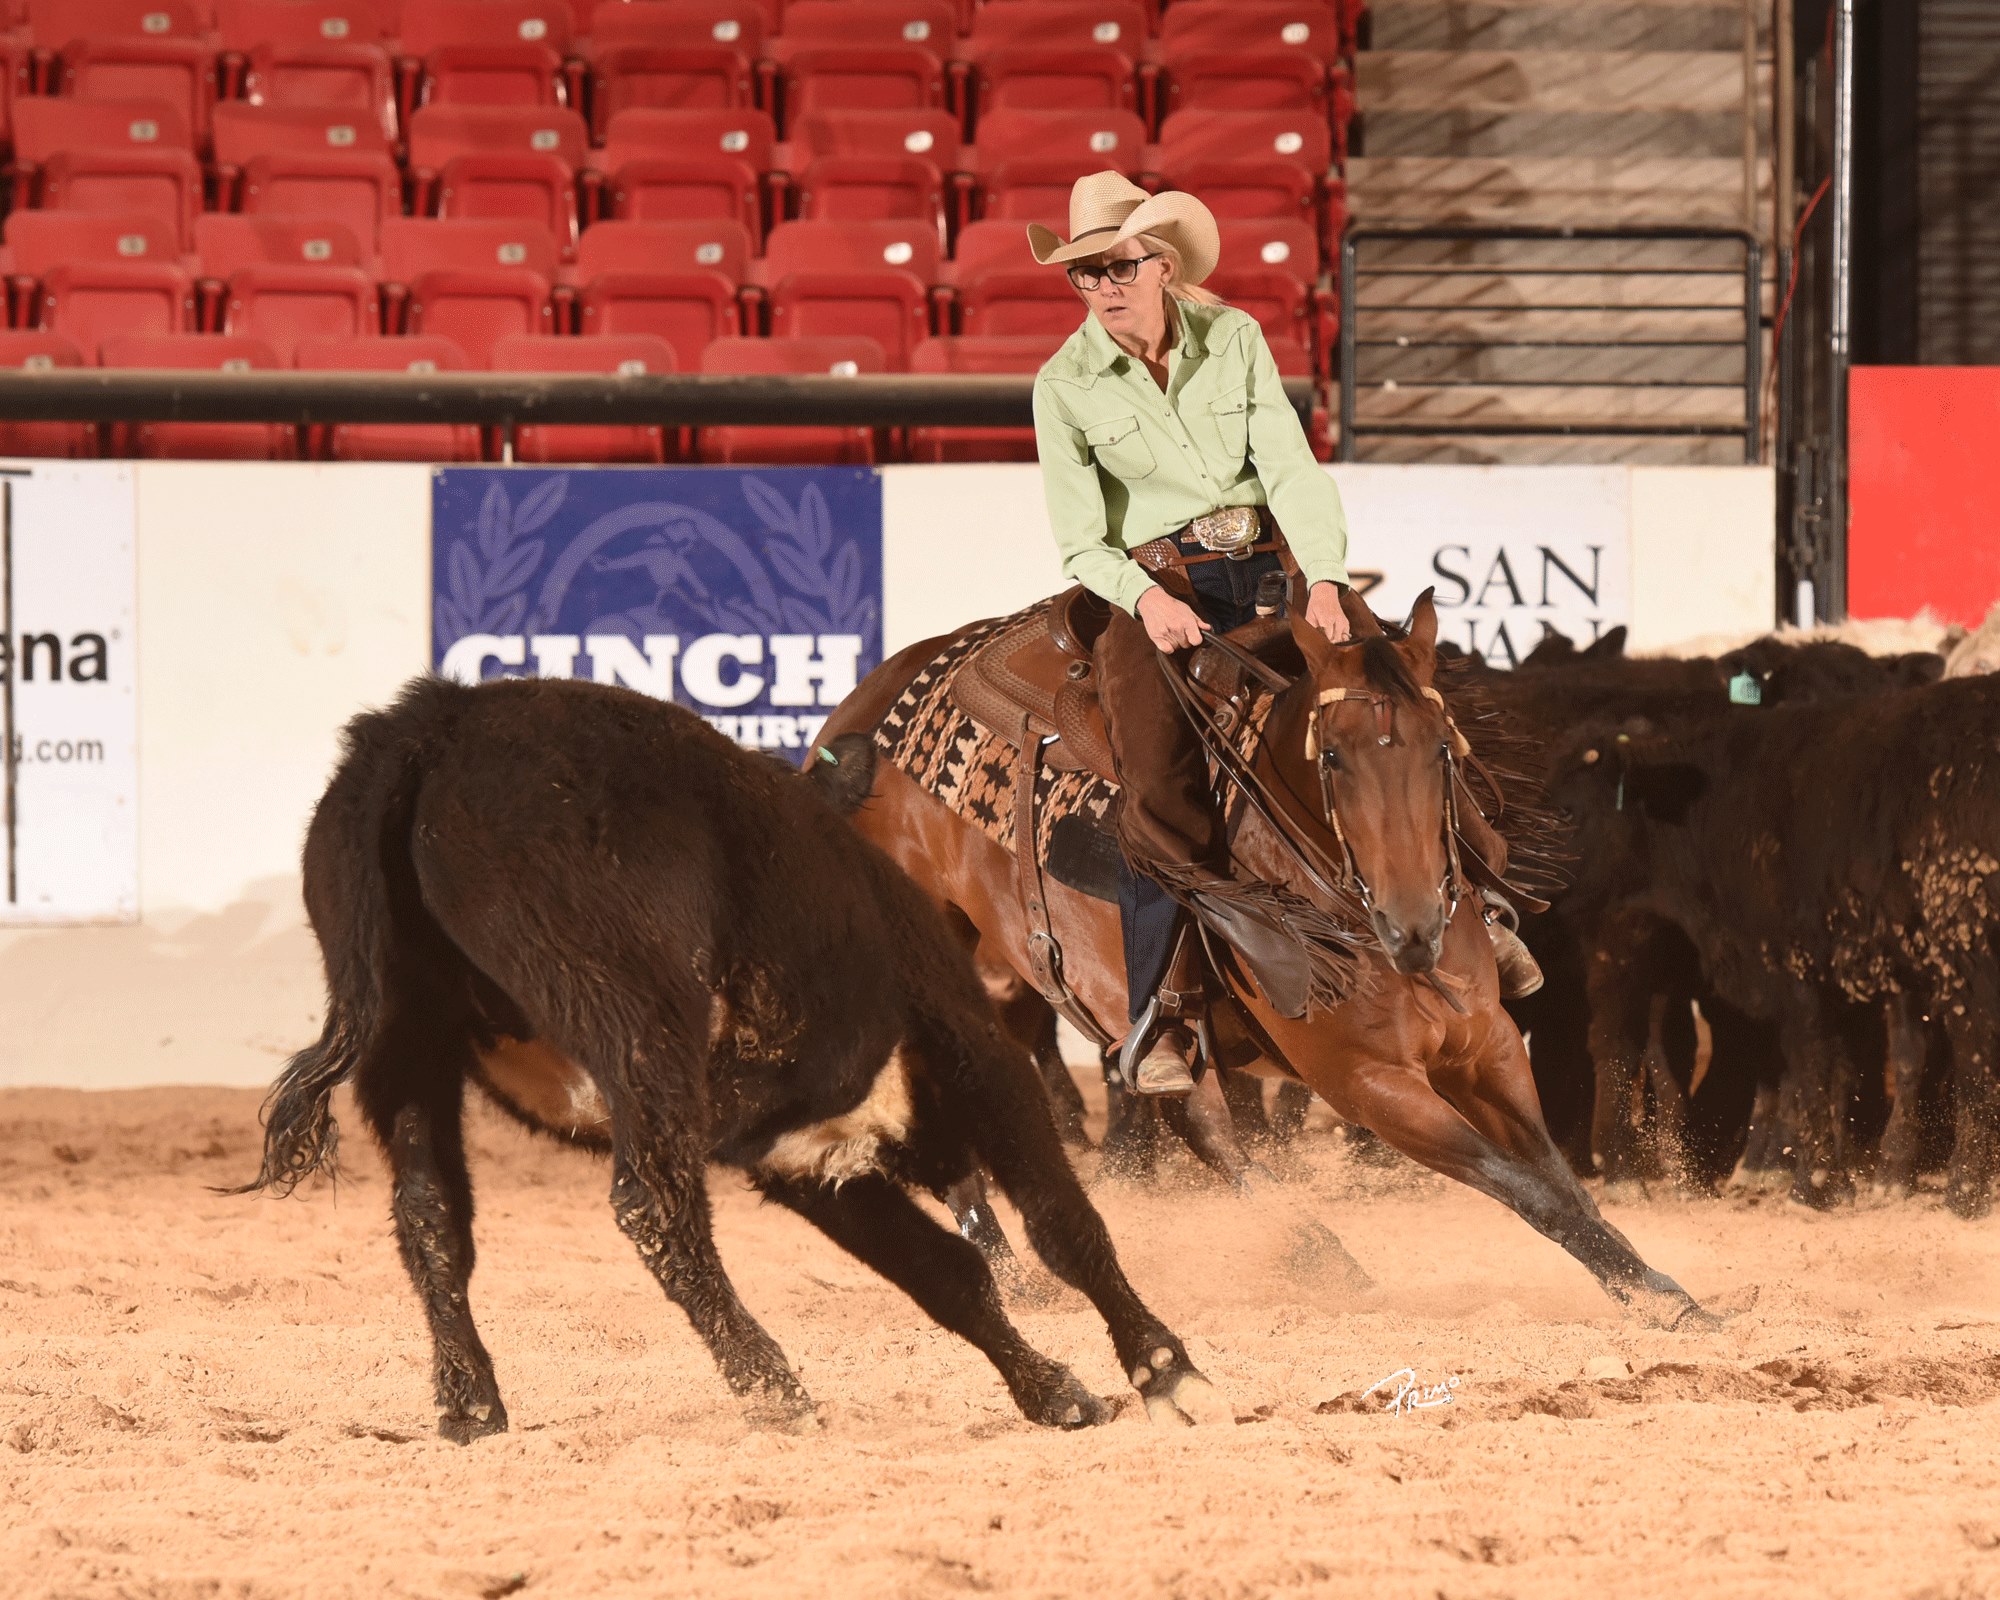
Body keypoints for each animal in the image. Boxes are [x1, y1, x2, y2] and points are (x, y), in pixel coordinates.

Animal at [231, 675, 1221, 1440]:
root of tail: (425, 726)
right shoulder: (975, 1054)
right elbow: (1064, 1225)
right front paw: (1166, 1370)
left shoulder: (802, 1158)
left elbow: (951, 1275)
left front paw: (1051, 1390)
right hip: (633, 1017)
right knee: (651, 1207)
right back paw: (775, 1389)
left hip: (405, 1053)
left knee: (432, 1218)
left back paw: (471, 1403)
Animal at [817, 584, 1729, 1330]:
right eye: (1334, 757)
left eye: (1444, 749)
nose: (1414, 929)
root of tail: (848, 719)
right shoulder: (1370, 1085)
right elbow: (1523, 1186)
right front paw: (1662, 1300)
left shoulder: (1489, 1045)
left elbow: (1556, 1176)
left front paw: (1649, 1283)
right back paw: (1005, 1269)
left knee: (1194, 1123)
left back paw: (1320, 1258)